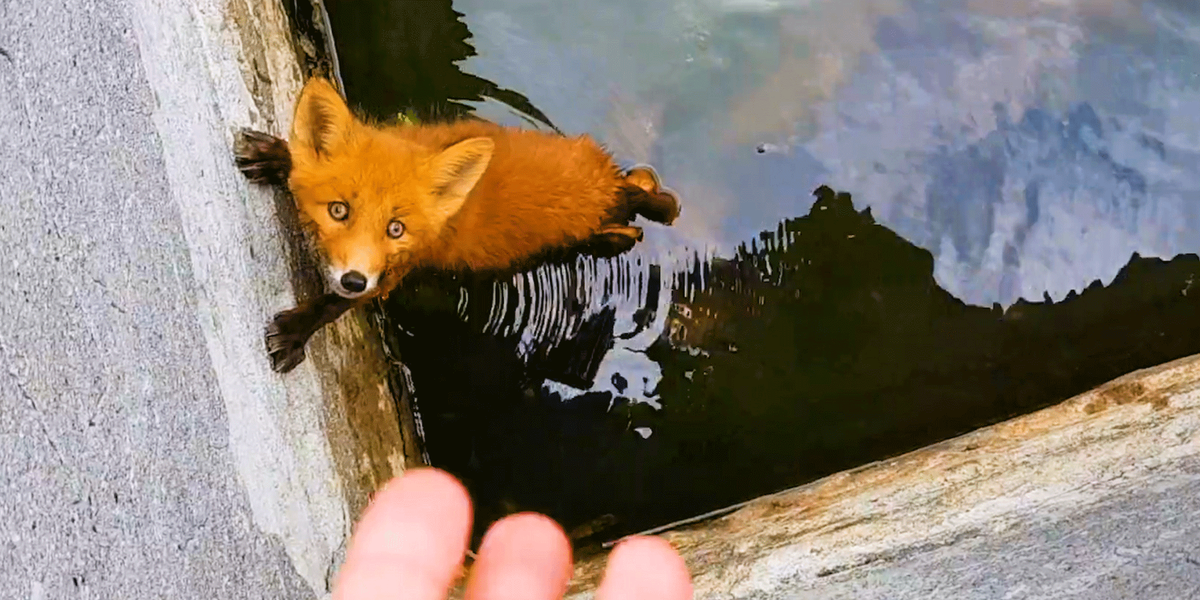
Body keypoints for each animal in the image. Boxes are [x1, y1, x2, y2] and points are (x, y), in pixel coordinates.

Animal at [234, 77, 681, 373]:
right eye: (339, 210)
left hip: (594, 226)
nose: (354, 278)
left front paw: (296, 332)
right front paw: (275, 156)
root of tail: (606, 183)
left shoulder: (398, 267)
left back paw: (633, 225)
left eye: (396, 229)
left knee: (638, 215)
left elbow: (335, 304)